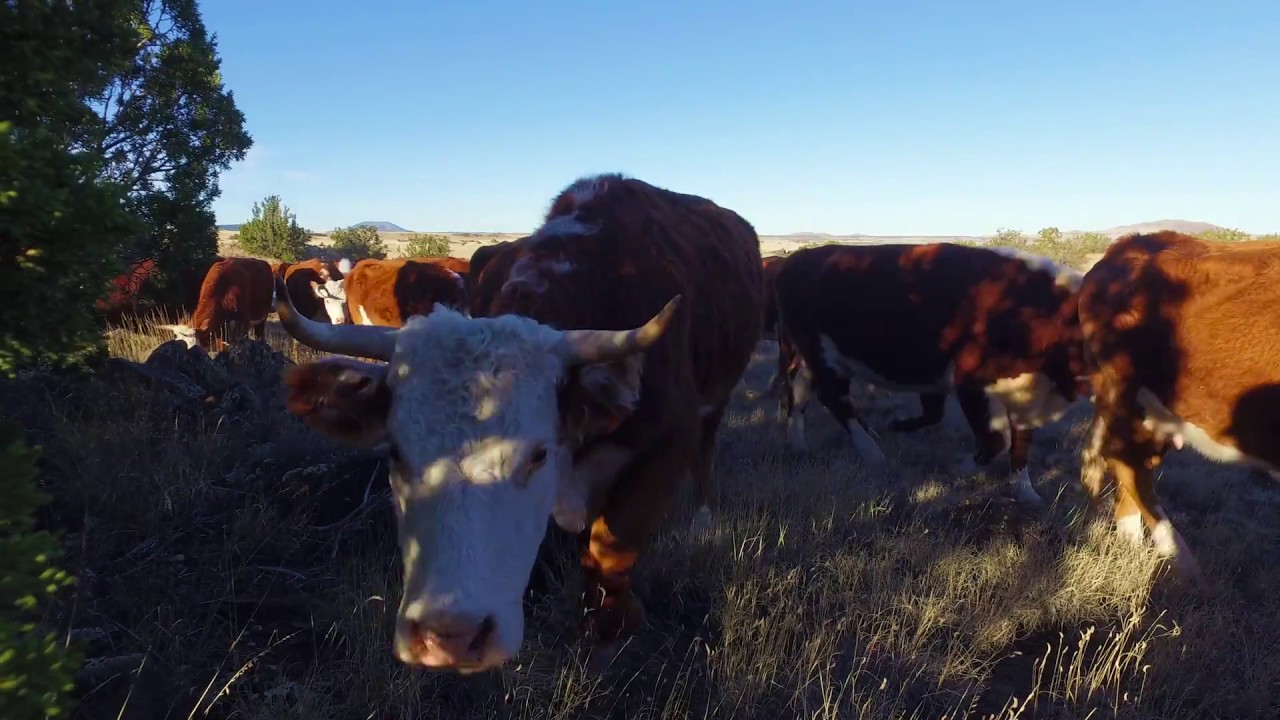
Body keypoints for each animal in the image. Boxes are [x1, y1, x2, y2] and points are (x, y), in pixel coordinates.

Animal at [770, 242, 1089, 505]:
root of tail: (799, 258)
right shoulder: (971, 383)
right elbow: (996, 442)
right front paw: (960, 466)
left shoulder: (1026, 399)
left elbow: (1020, 447)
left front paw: (1026, 492)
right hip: (820, 352)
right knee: (833, 399)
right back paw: (872, 452)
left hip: (810, 355)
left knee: (799, 393)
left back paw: (800, 444)